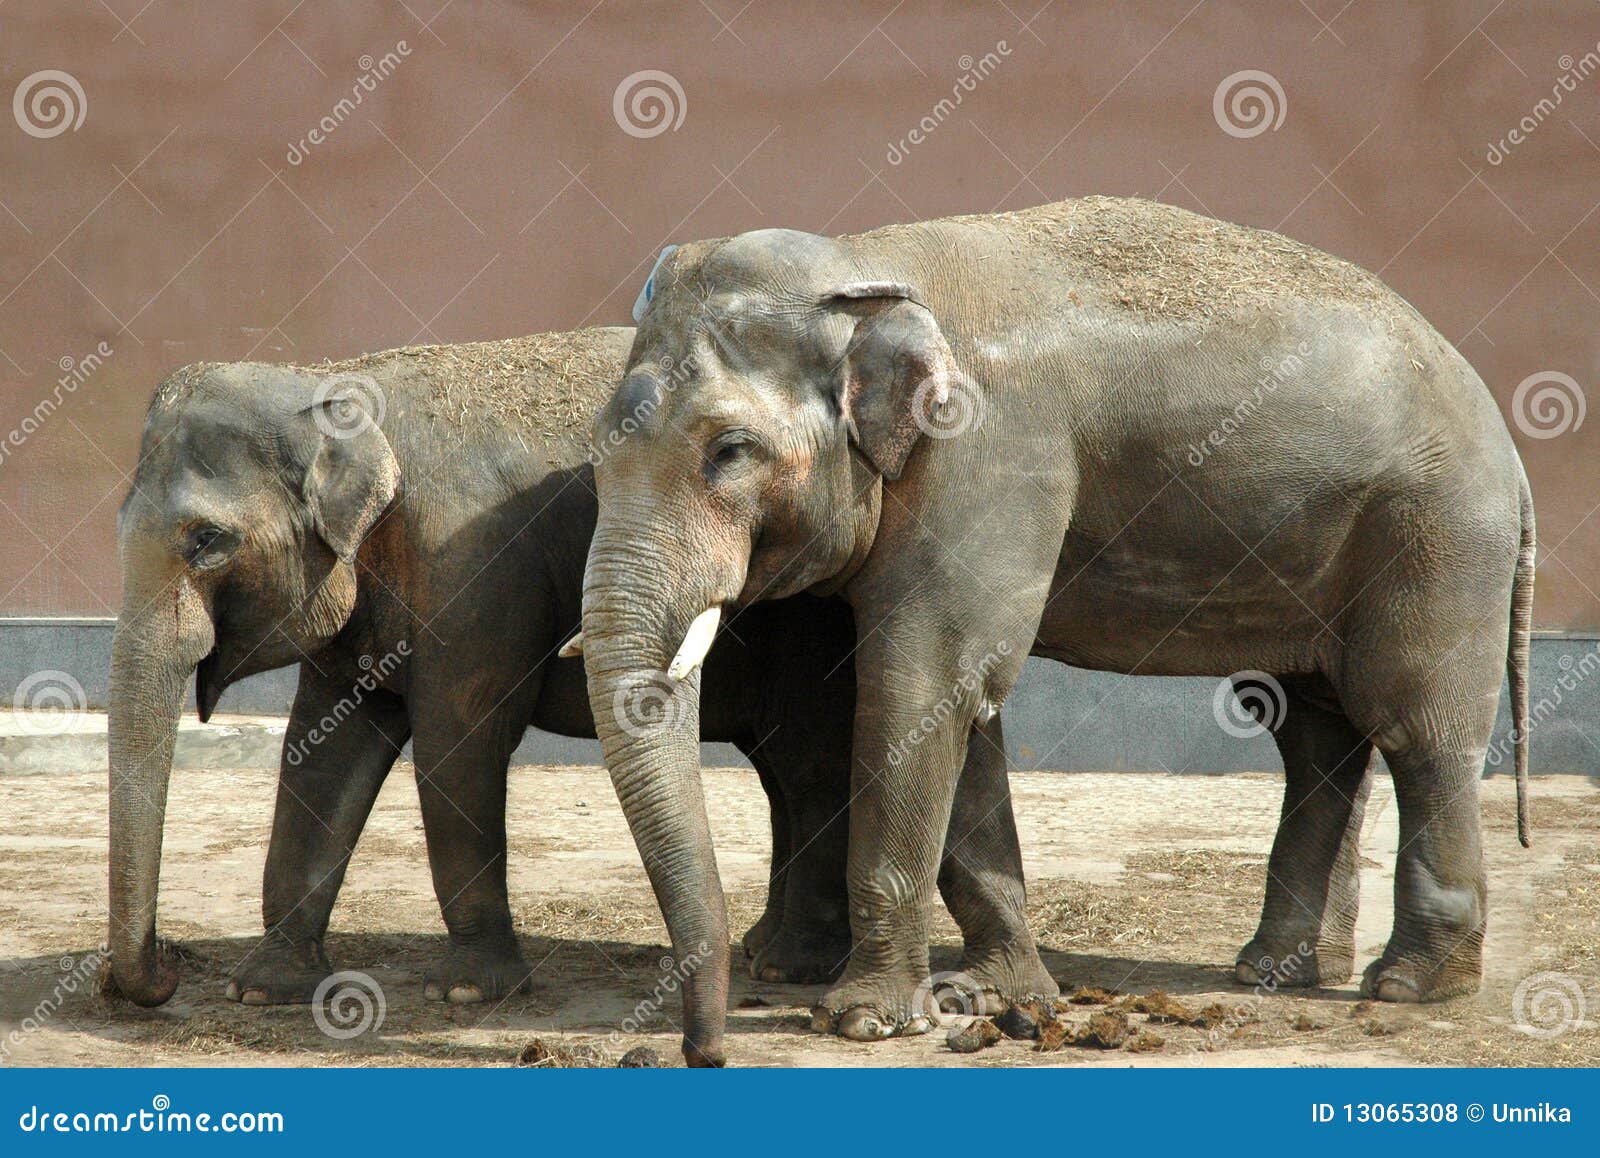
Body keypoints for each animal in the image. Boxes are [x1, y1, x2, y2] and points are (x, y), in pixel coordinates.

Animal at [105, 327, 1049, 1063]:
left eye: (206, 540)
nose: (162, 972)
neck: (340, 380)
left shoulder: (471, 567)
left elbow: (460, 741)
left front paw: (468, 996)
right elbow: (323, 755)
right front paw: (260, 990)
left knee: (809, 763)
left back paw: (792, 968)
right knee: (791, 772)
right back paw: (771, 958)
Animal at [578, 196, 1534, 1060]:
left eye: (729, 452)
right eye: (599, 439)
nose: (705, 1054)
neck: (865, 262)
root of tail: (1506, 442)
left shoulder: (985, 455)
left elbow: (923, 679)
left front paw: (863, 1022)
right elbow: (961, 702)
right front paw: (997, 997)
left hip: (1439, 532)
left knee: (1418, 726)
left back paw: (1411, 986)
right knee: (1316, 731)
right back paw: (1276, 971)